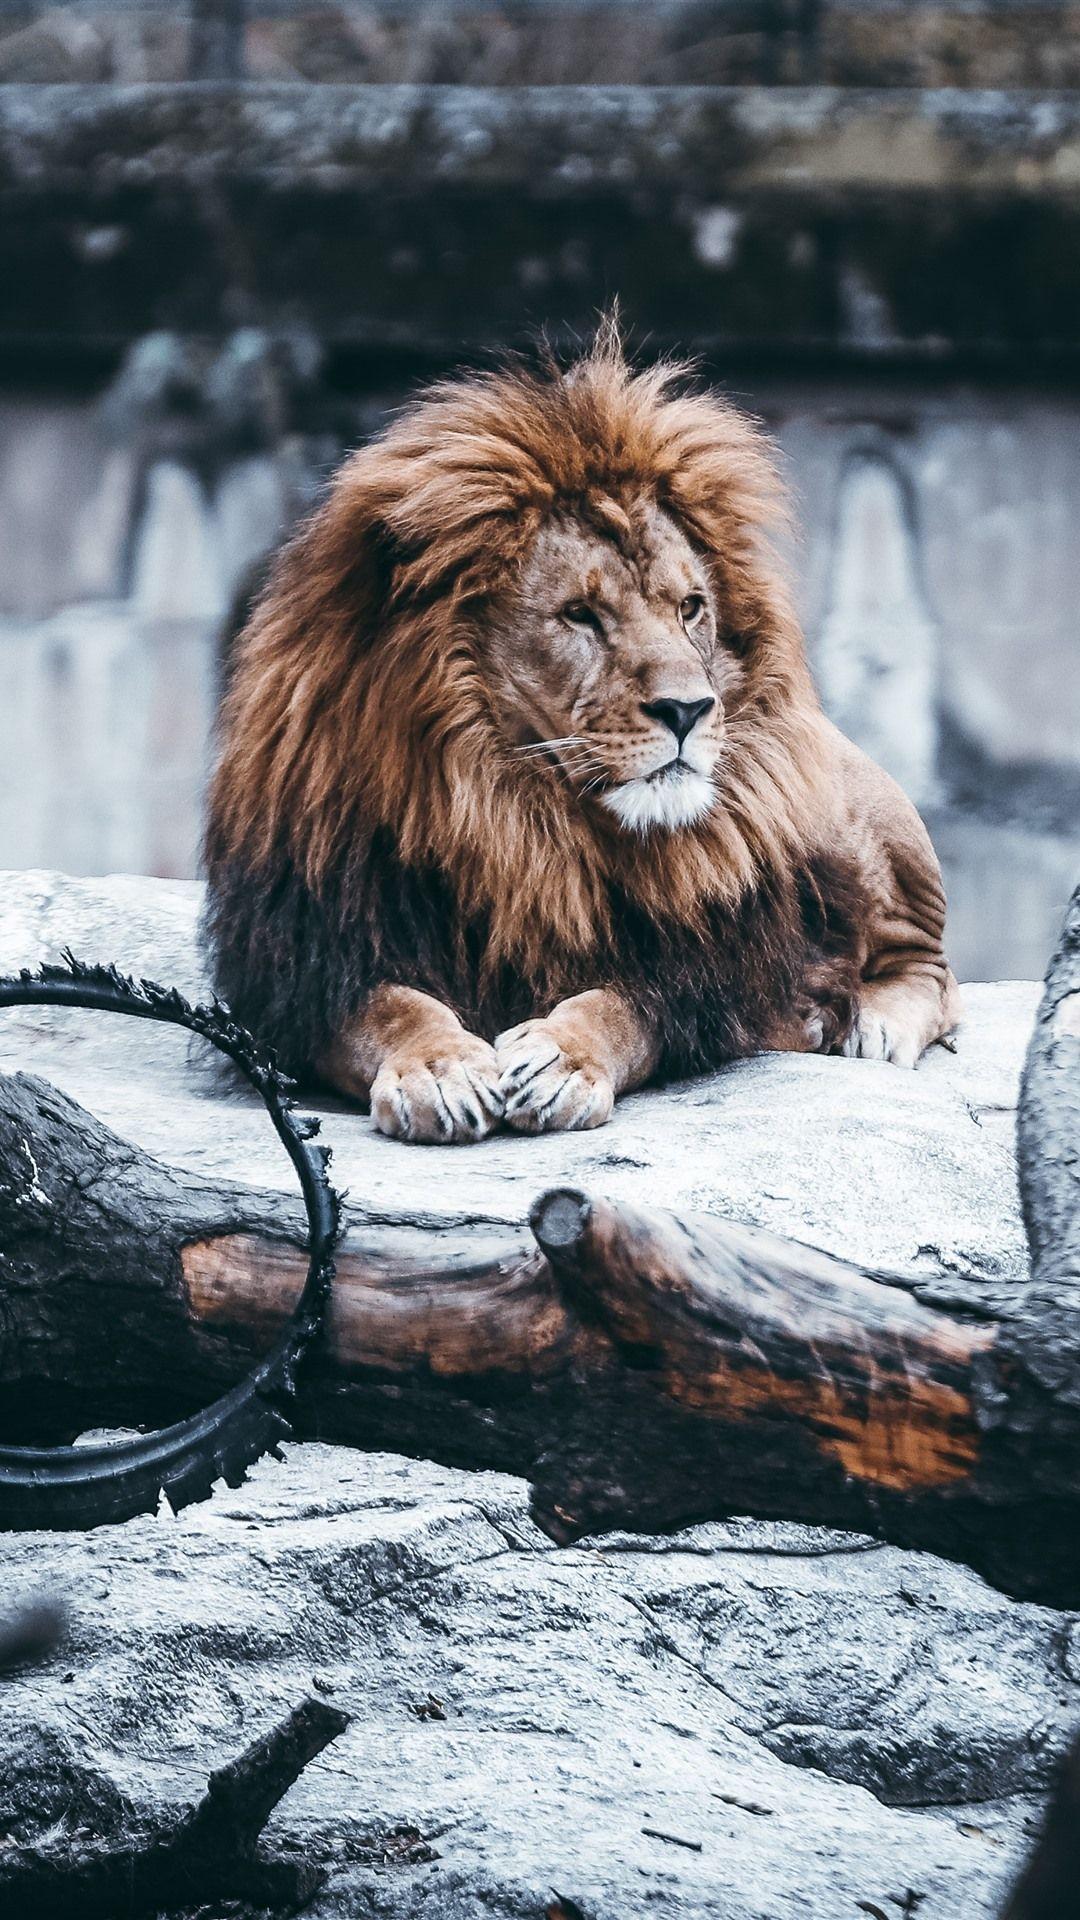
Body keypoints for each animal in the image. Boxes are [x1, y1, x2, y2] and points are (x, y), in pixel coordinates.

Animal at [204, 330, 960, 1144]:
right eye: (580, 615)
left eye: (691, 606)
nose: (690, 709)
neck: (513, 819)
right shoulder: (300, 970)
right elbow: (389, 1007)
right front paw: (438, 1069)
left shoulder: (704, 972)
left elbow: (623, 1006)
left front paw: (560, 1060)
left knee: (933, 969)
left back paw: (868, 1027)